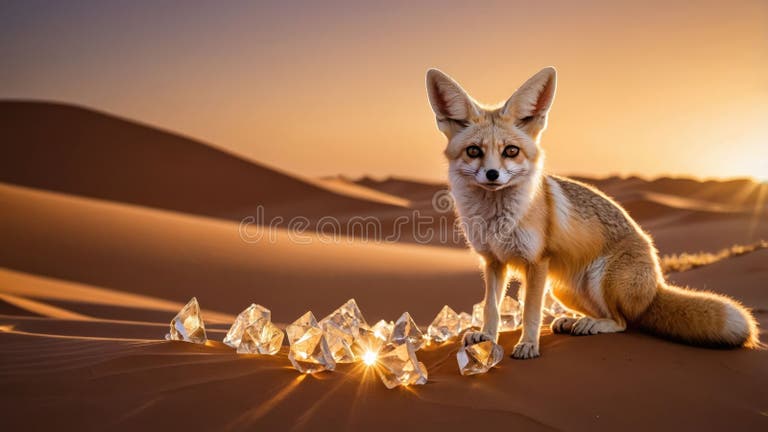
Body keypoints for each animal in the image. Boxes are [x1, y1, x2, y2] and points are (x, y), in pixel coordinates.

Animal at [425, 67, 760, 359]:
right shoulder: (493, 262)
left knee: (624, 323)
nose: (493, 175)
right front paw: (487, 337)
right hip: (564, 288)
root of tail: (656, 284)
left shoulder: (537, 262)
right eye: (473, 151)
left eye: (511, 151)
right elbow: (492, 308)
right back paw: (573, 321)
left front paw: (528, 345)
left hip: (600, 280)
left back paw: (590, 325)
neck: (497, 221)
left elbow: (530, 311)